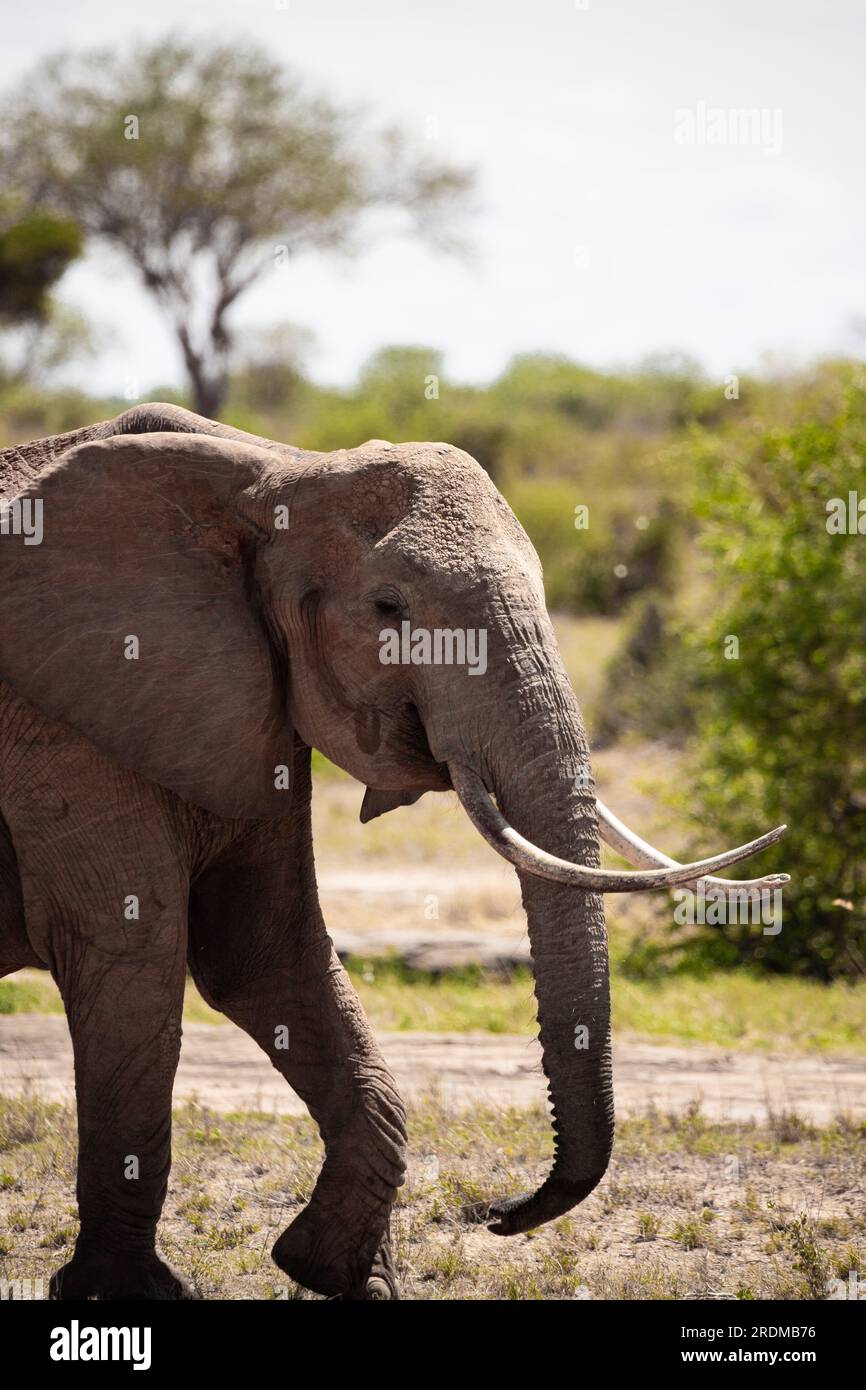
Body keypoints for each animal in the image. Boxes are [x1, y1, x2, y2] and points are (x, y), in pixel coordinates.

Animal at [0, 403, 788, 1299]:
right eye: (388, 606)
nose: (500, 1214)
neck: (272, 471)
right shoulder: (65, 728)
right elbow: (133, 956)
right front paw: (125, 1296)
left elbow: (268, 955)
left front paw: (336, 1273)